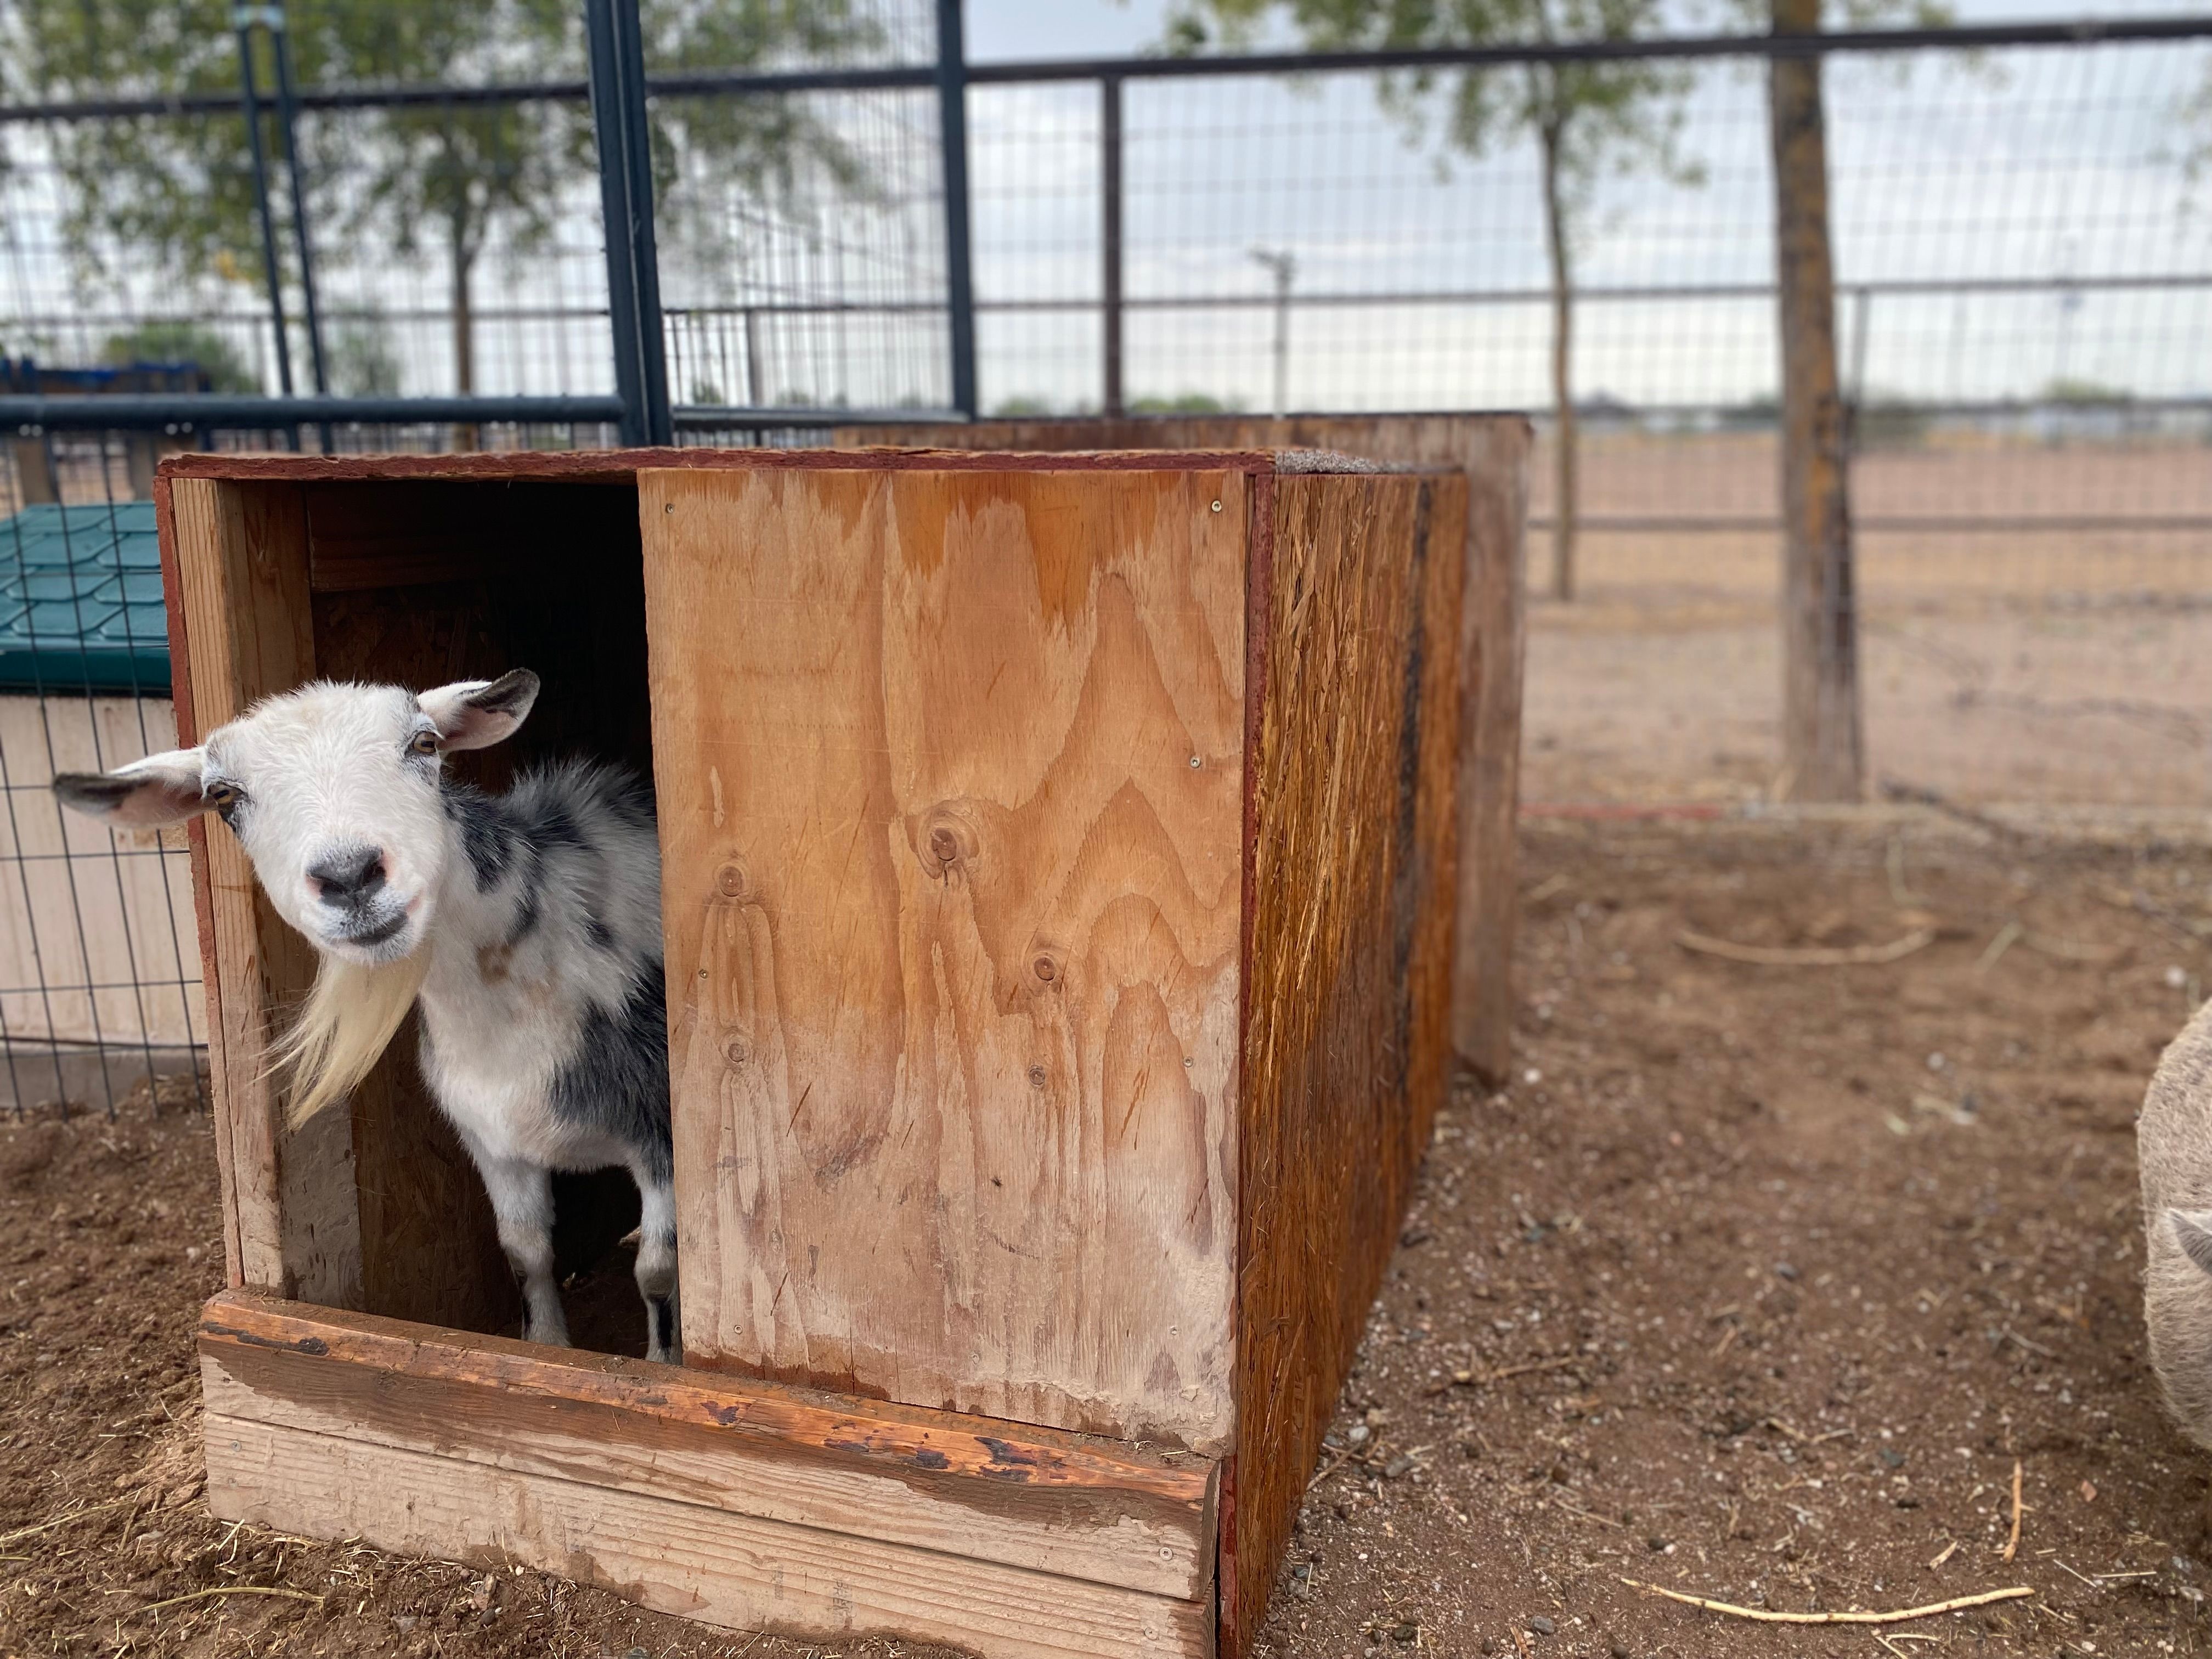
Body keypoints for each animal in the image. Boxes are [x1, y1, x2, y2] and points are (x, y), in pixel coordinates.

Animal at [53, 671, 680, 1362]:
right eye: (222, 795)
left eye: (426, 743)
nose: (349, 877)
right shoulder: (493, 1142)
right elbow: (525, 1254)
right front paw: (544, 1347)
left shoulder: (663, 1137)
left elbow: (658, 1272)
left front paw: (663, 1365)